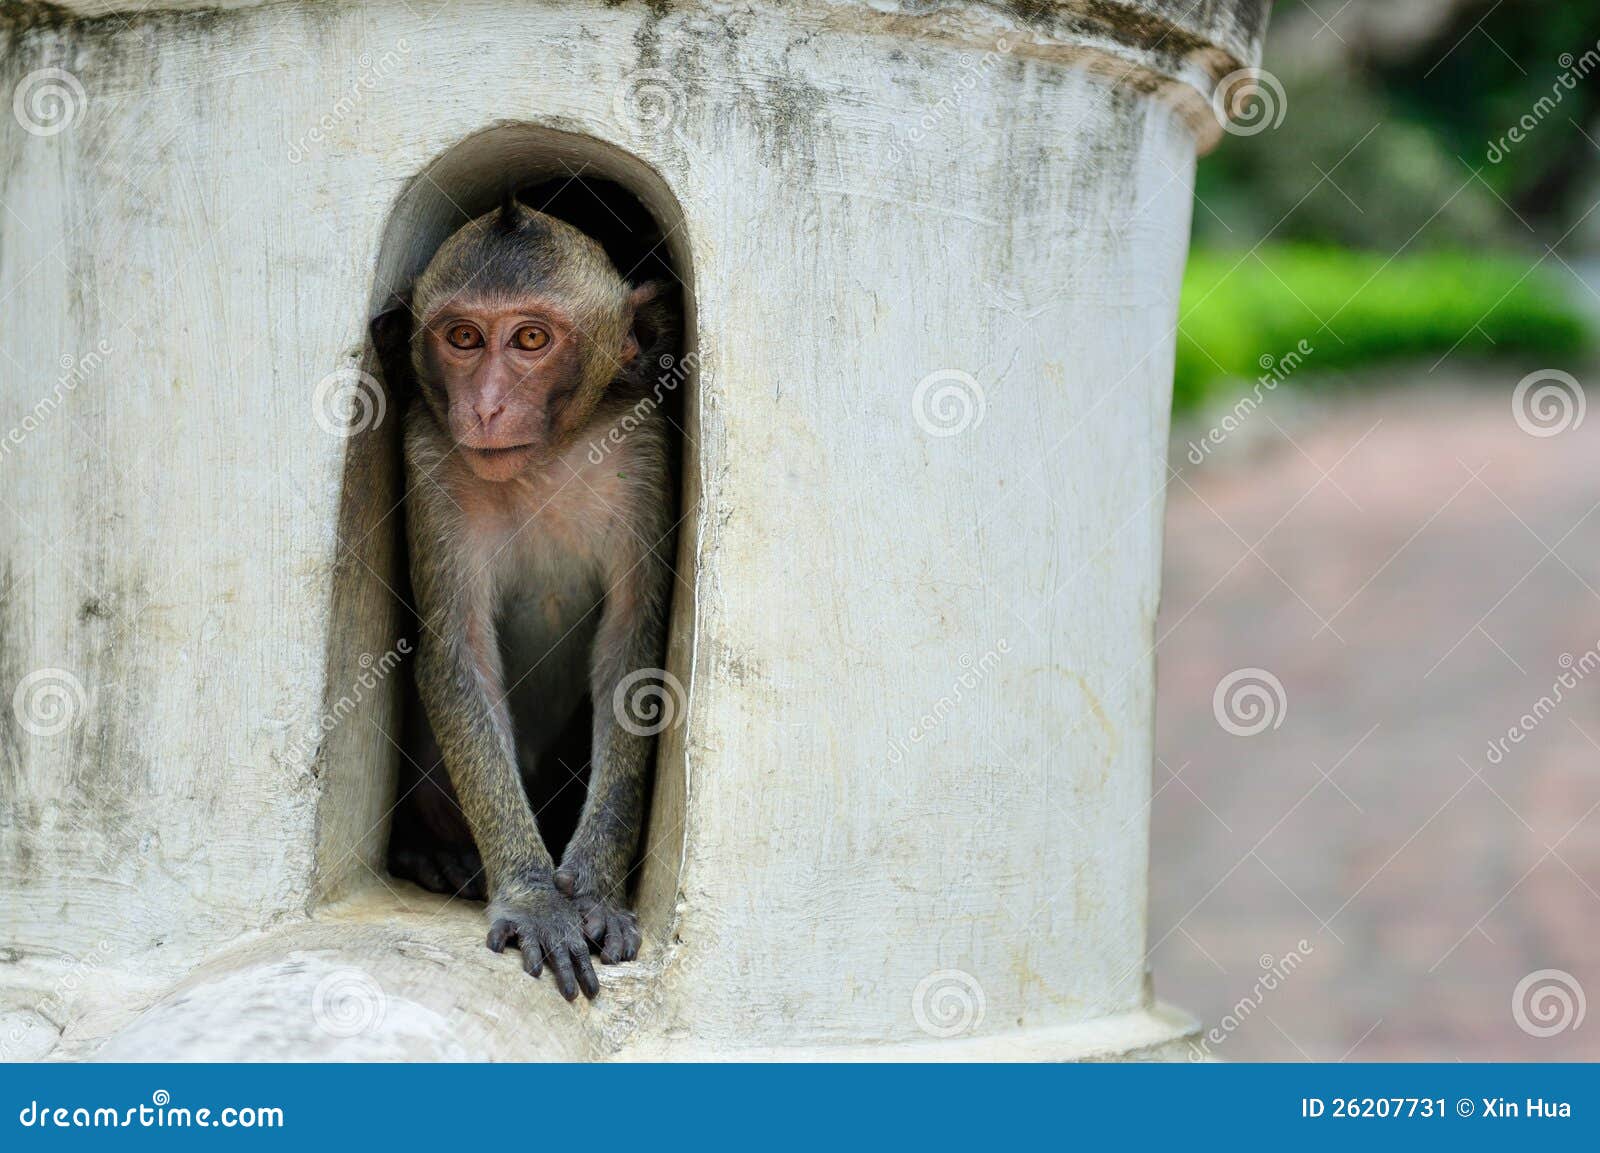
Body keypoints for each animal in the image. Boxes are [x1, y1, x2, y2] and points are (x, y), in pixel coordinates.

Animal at [371, 194, 678, 1001]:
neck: (546, 457)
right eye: (464, 338)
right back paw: (432, 854)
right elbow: (459, 655)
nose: (484, 407)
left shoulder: (643, 449)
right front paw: (535, 896)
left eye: (531, 338)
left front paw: (594, 890)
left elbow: (631, 658)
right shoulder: (429, 454)